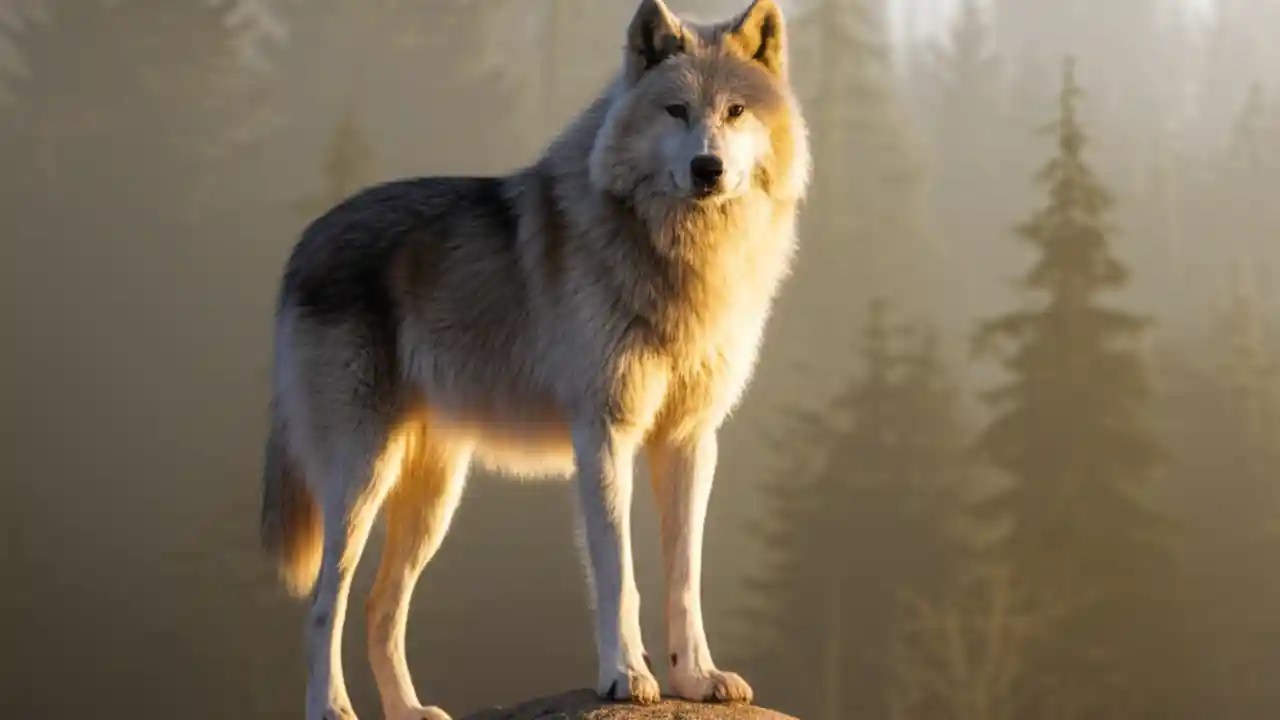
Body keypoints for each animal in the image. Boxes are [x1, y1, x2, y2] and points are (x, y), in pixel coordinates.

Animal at [260, 1, 809, 718]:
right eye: (676, 111)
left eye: (736, 111)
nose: (707, 168)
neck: (680, 257)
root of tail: (307, 239)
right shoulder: (604, 433)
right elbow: (619, 574)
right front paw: (626, 676)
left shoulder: (690, 439)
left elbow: (684, 578)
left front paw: (698, 679)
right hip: (360, 480)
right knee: (326, 604)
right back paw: (330, 706)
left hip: (434, 500)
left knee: (381, 609)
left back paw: (410, 710)